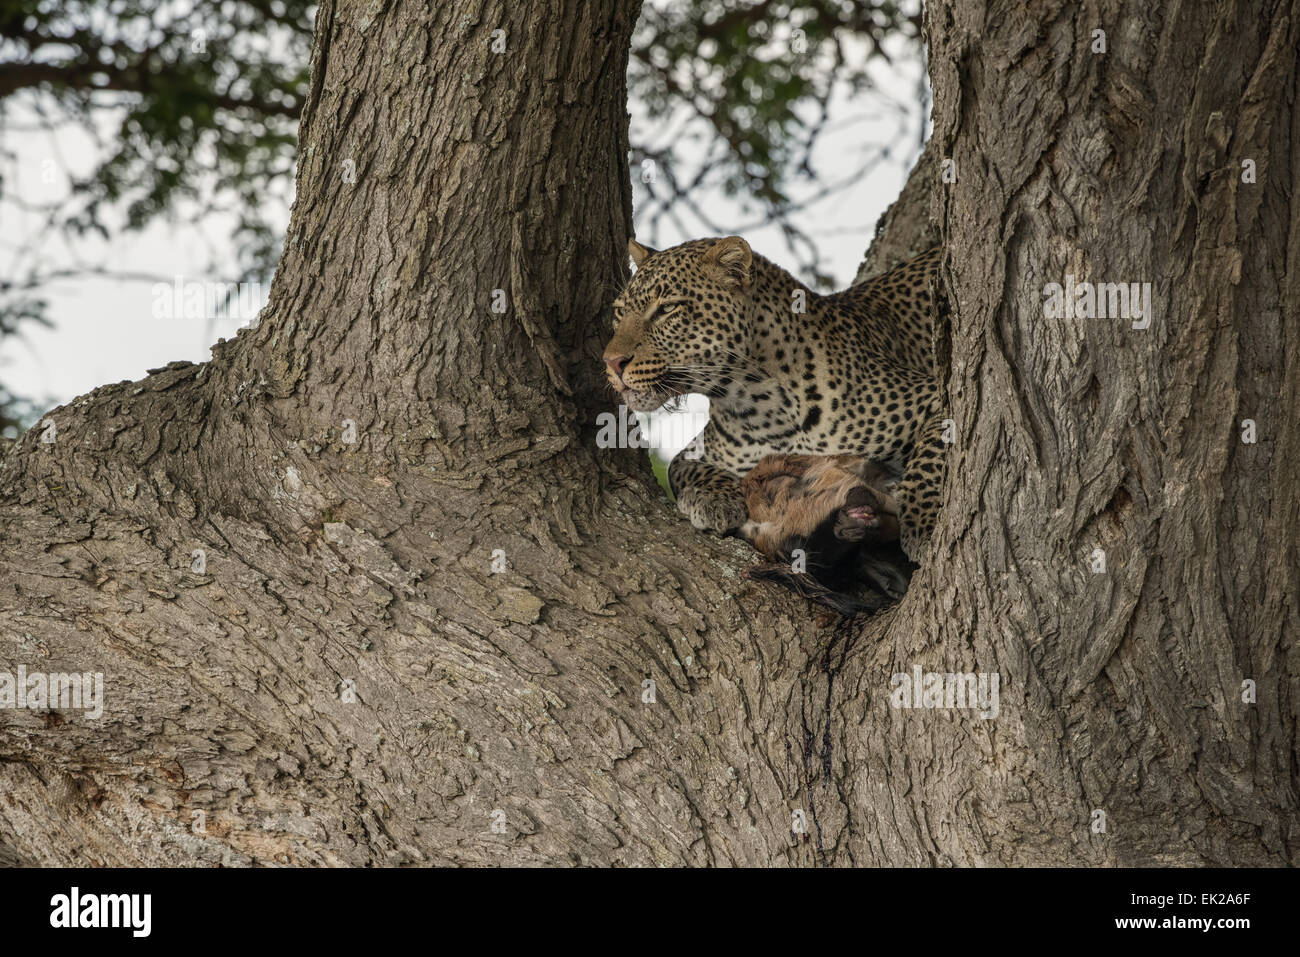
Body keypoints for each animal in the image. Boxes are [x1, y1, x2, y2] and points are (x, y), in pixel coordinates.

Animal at [602, 235, 948, 562]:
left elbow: (929, 460)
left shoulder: (934, 396)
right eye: (619, 312)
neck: (758, 405)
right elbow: (680, 466)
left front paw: (924, 525)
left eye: (667, 309)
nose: (611, 362)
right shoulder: (704, 451)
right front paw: (716, 500)